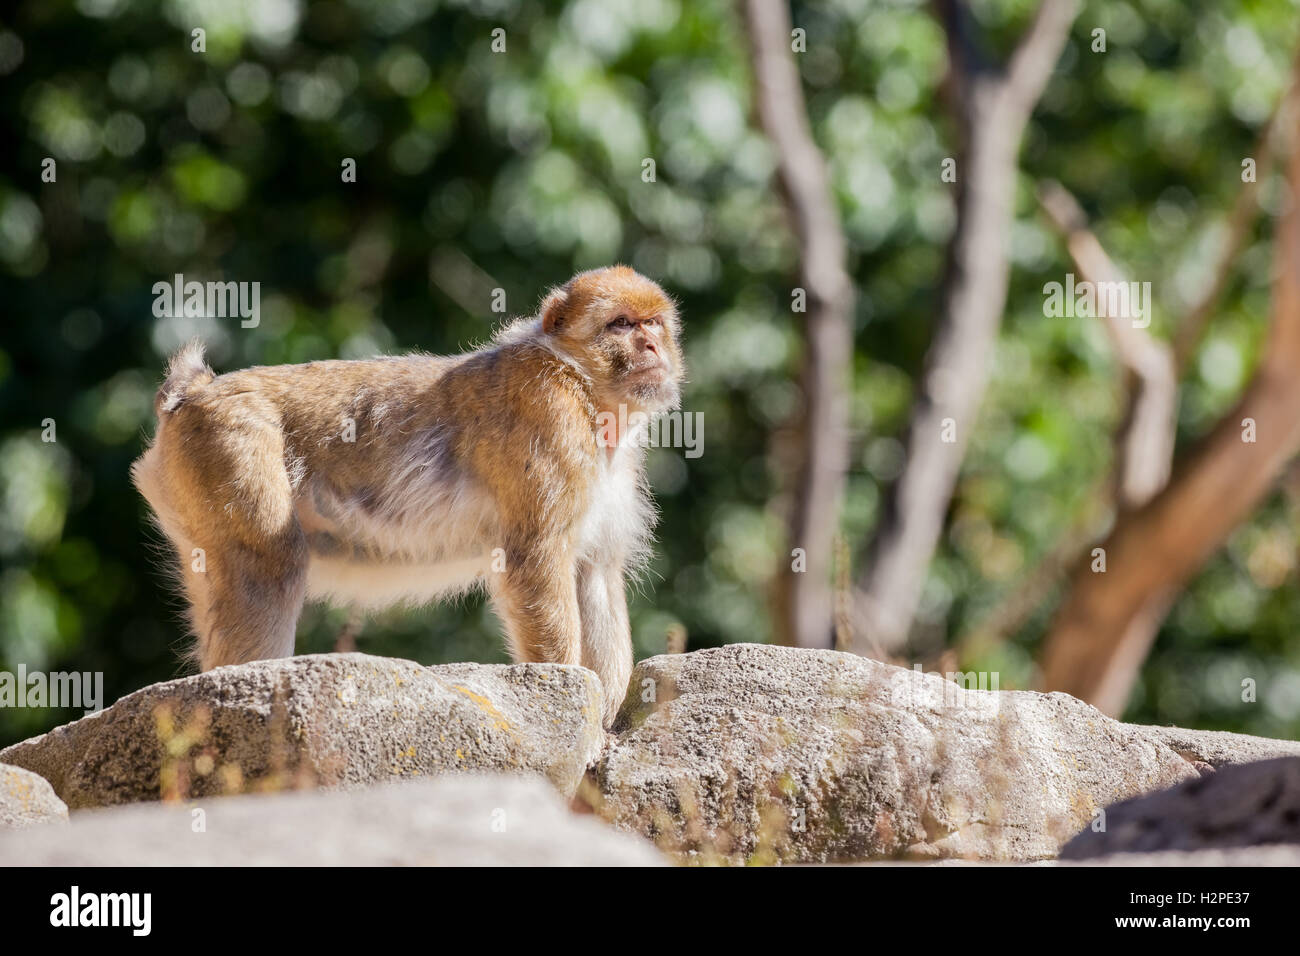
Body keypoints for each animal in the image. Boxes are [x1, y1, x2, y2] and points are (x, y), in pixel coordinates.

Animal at [130, 266, 684, 727]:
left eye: (653, 323)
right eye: (620, 325)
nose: (651, 348)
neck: (584, 386)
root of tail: (194, 391)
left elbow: (596, 575)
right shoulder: (552, 417)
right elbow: (536, 557)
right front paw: (571, 708)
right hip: (230, 446)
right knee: (269, 562)